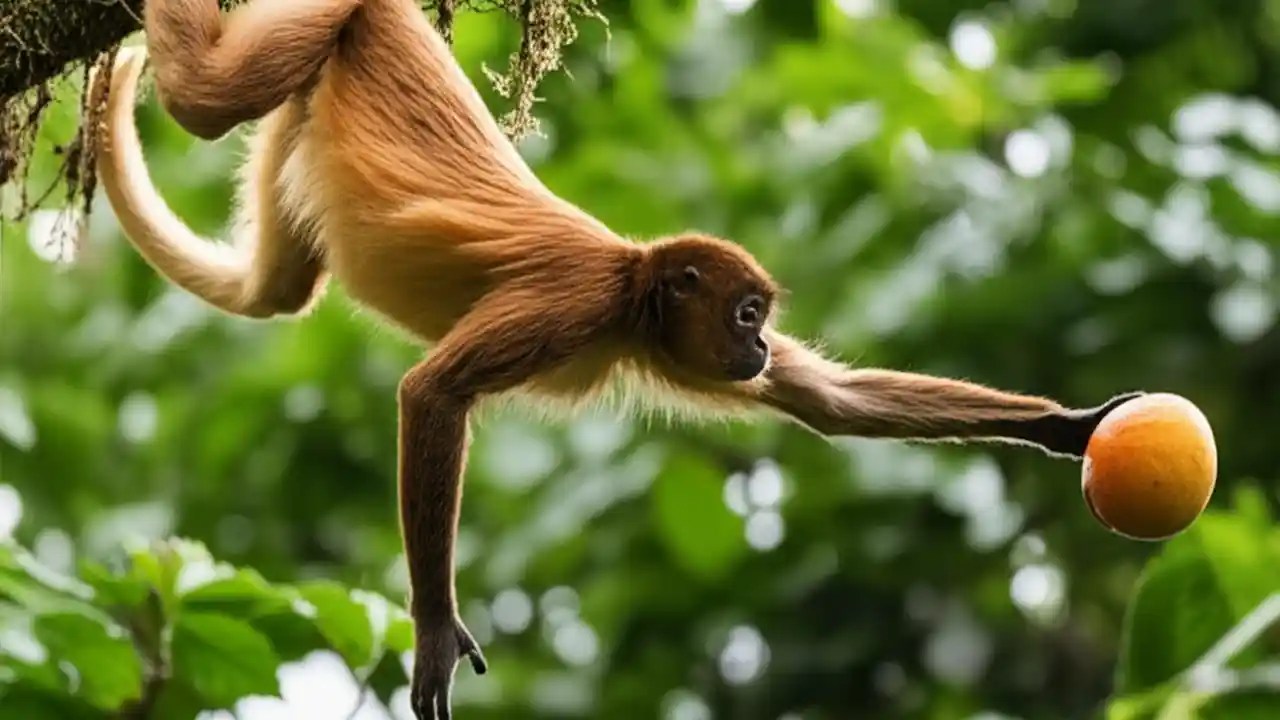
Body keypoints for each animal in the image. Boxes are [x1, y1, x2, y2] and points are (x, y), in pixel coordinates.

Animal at [88, 1, 1141, 717]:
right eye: (748, 312)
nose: (759, 343)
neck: (633, 290)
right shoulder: (577, 304)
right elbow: (432, 392)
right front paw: (432, 632)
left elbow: (834, 402)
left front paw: (1074, 426)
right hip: (335, 26)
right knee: (205, 98)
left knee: (270, 288)